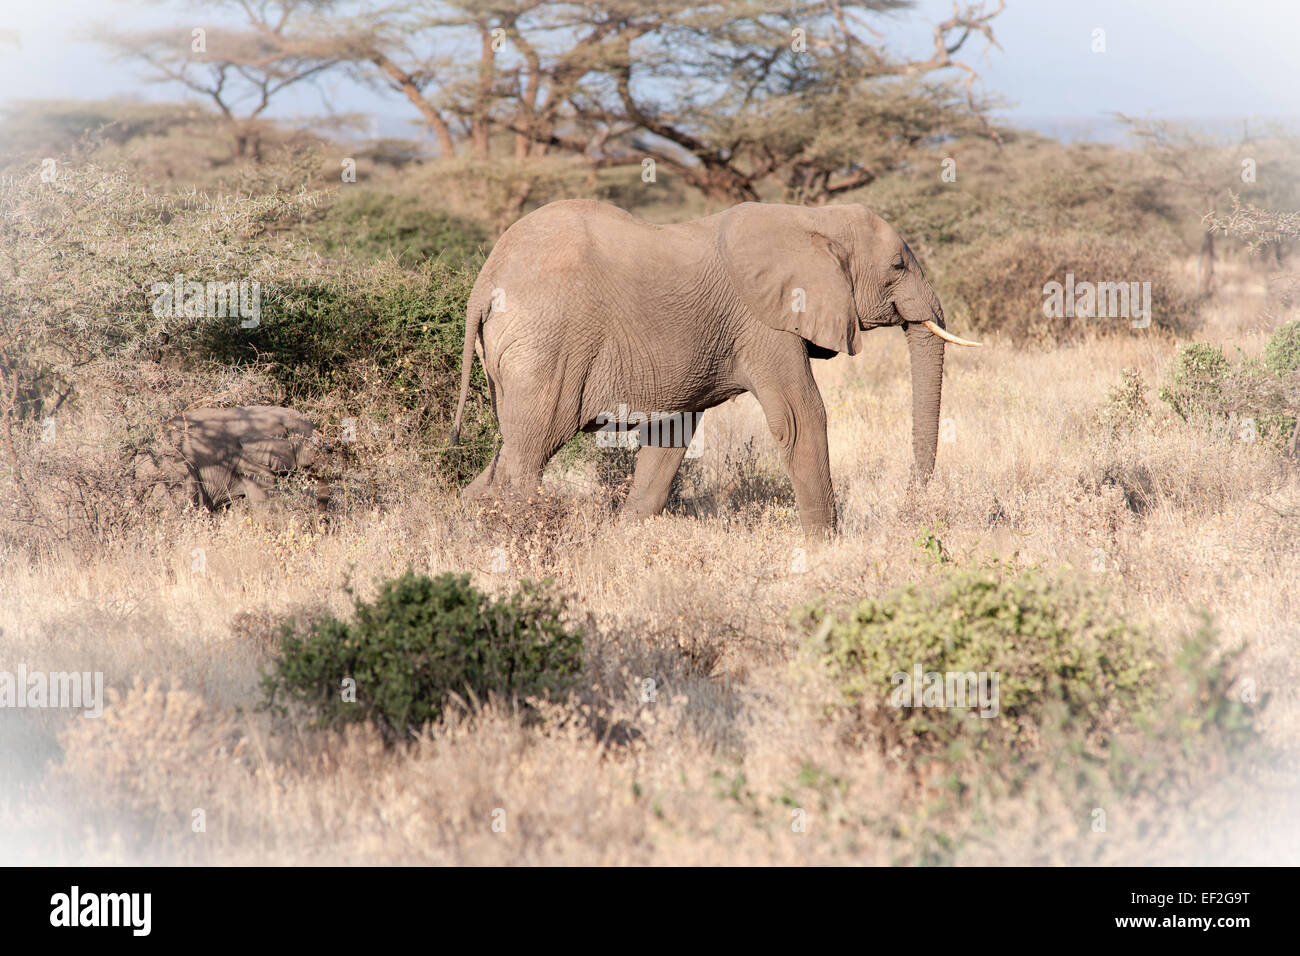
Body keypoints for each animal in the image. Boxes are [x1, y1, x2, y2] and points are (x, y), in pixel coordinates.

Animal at [448, 199, 979, 536]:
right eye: (898, 267)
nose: (913, 502)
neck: (814, 218)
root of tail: (485, 282)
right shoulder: (765, 323)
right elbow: (800, 418)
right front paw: (825, 548)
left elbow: (670, 437)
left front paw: (624, 540)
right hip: (547, 347)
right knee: (529, 453)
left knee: (509, 450)